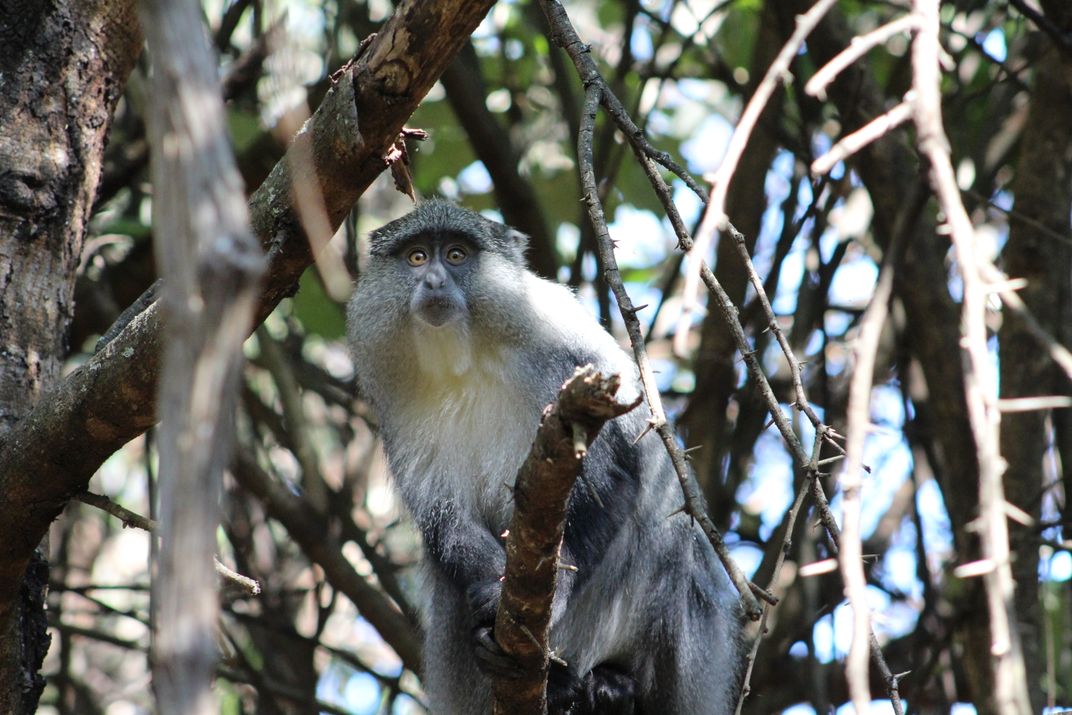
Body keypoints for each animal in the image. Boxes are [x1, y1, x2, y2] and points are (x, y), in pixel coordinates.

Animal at [347, 201, 743, 714]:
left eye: (456, 255)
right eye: (416, 257)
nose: (433, 281)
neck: (467, 358)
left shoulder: (557, 363)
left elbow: (614, 476)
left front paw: (550, 597)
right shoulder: (400, 409)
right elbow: (443, 516)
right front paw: (489, 606)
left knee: (673, 540)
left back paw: (610, 683)